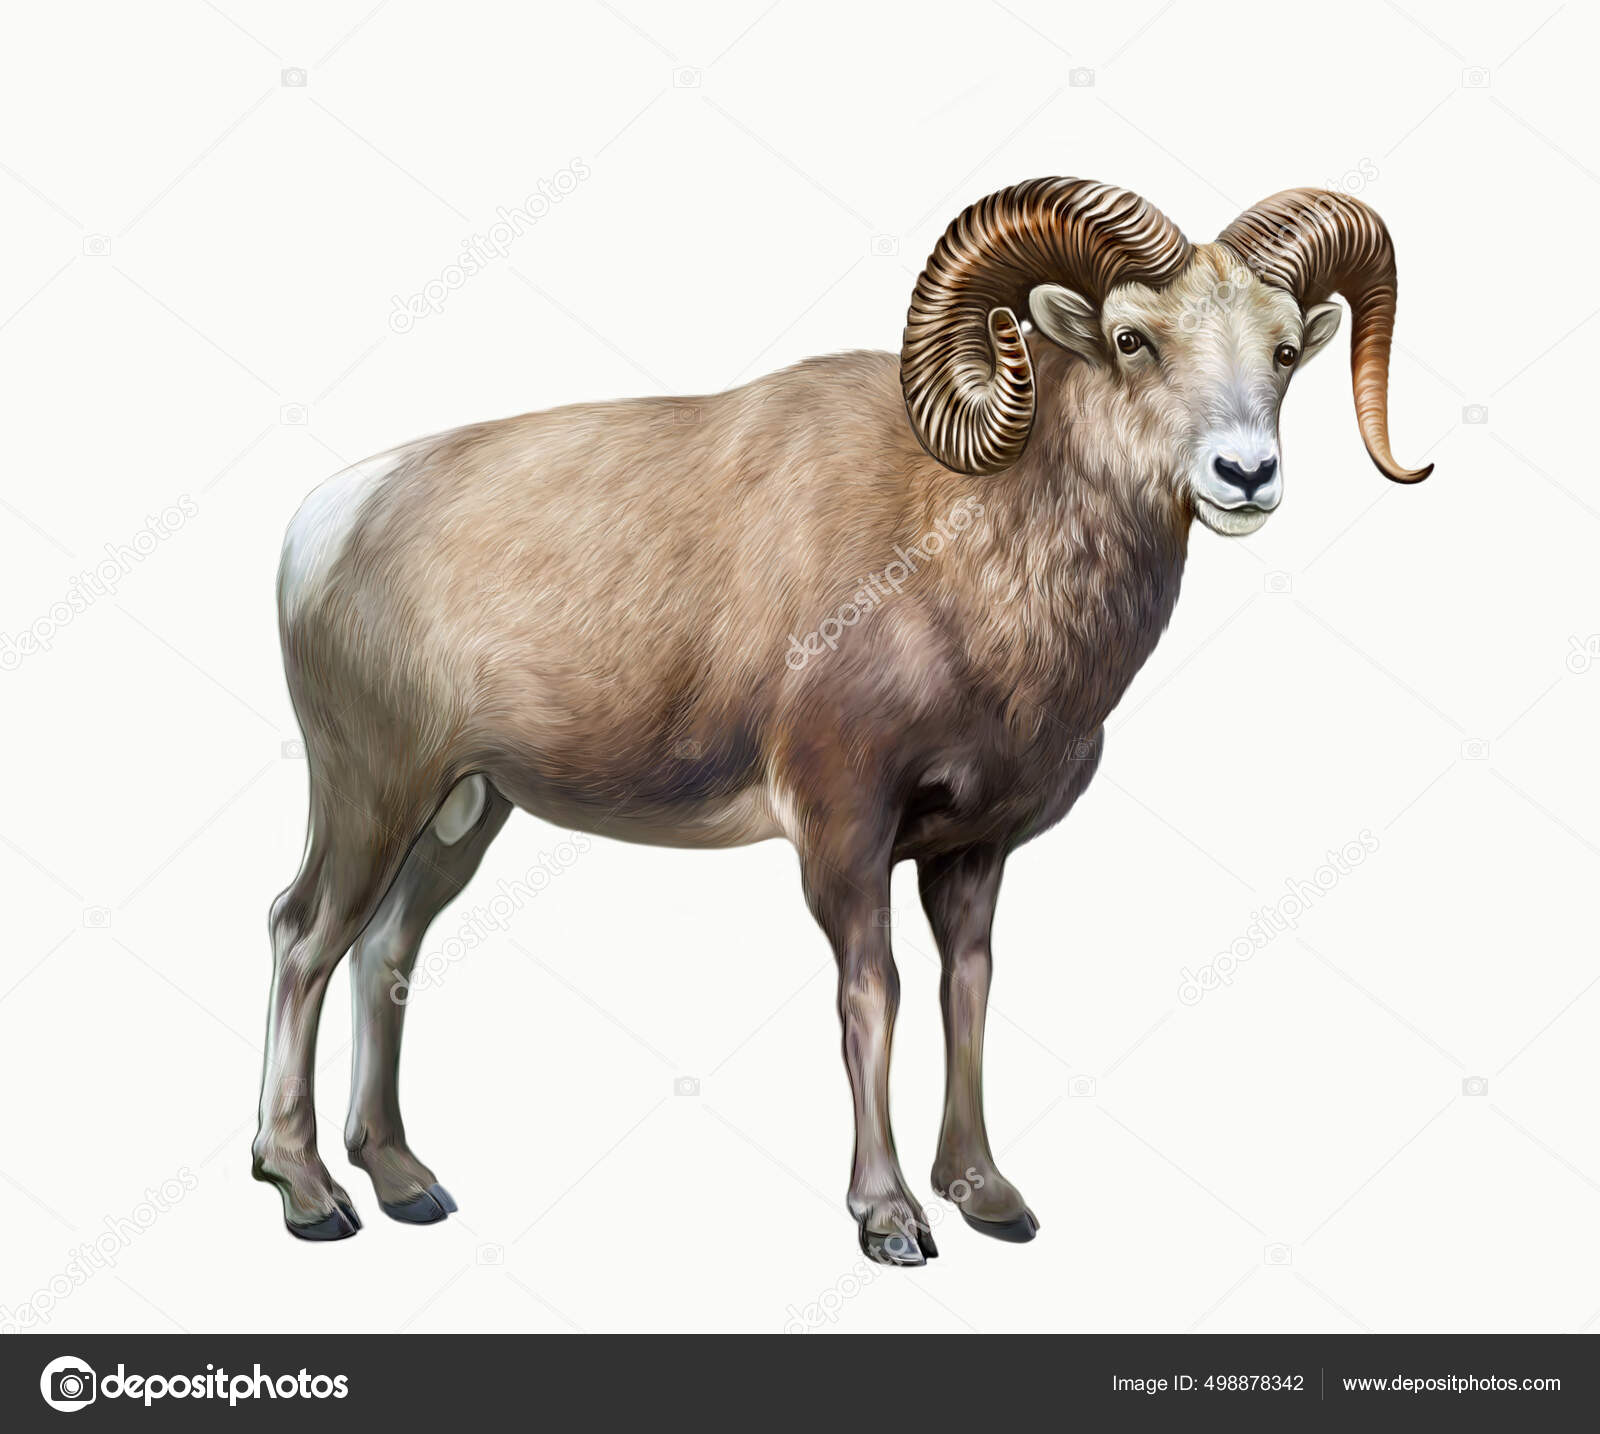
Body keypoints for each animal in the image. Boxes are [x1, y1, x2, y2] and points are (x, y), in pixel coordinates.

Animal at [254, 177, 1430, 1261]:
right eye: (1132, 339)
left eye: (1284, 351)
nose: (1246, 474)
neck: (960, 560)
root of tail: (328, 521)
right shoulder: (843, 831)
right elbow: (874, 997)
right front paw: (892, 1219)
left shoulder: (972, 852)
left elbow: (967, 991)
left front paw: (989, 1198)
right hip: (374, 792)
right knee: (305, 935)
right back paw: (310, 1197)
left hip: (461, 813)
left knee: (385, 949)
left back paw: (406, 1183)